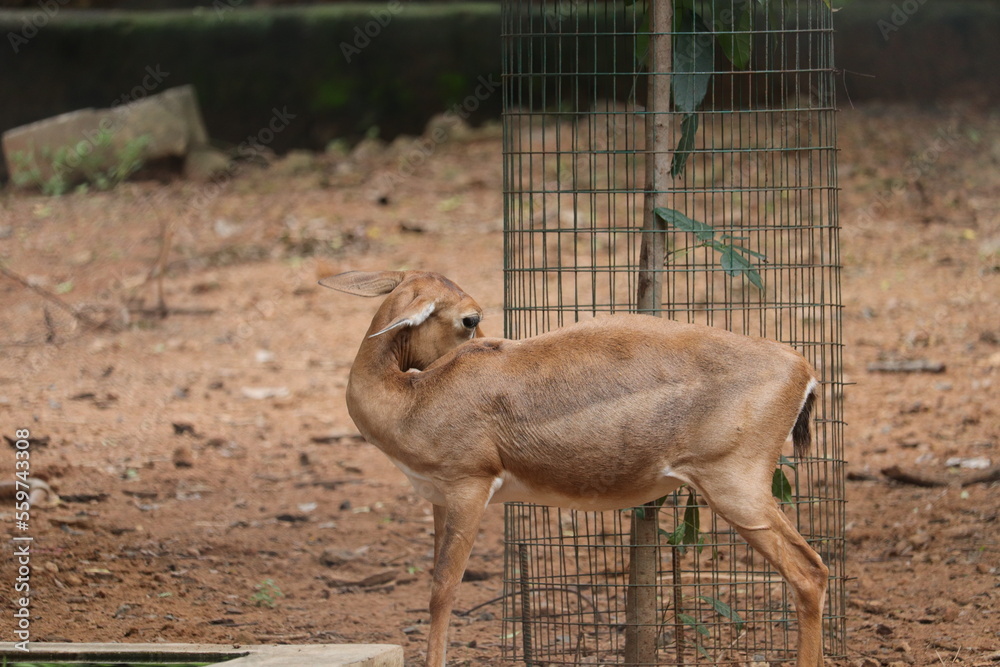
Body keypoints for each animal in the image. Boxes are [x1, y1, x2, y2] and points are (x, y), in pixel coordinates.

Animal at [320, 269, 829, 667]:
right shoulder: (439, 500)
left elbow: (443, 591)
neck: (413, 400)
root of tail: (802, 367)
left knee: (809, 571)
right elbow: (434, 586)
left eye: (471, 318)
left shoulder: (469, 488)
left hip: (737, 492)